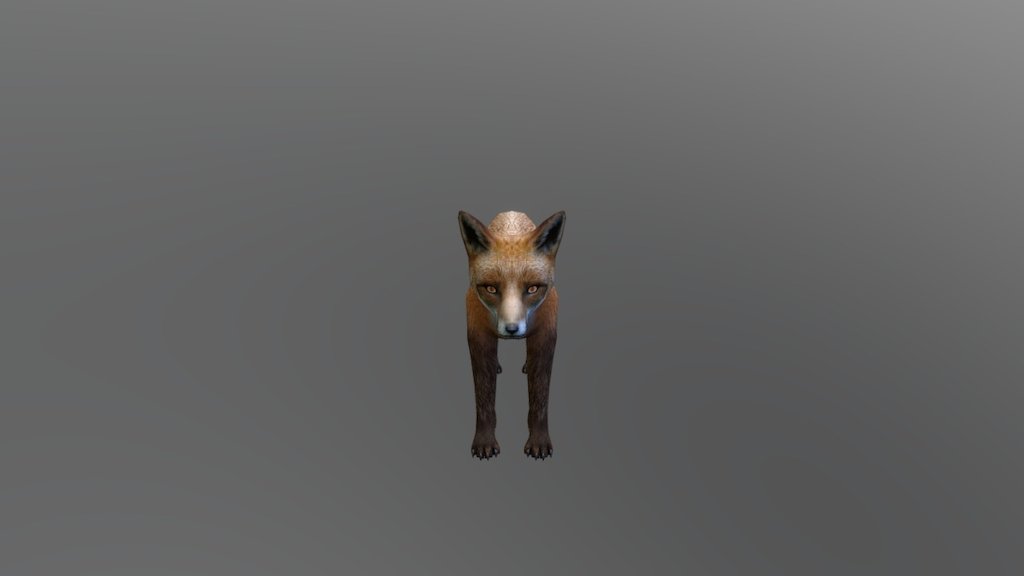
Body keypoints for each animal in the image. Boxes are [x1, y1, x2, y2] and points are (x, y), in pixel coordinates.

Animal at [458, 210, 566, 460]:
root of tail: (512, 212)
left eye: (533, 288)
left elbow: (539, 399)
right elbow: (484, 399)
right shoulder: (478, 337)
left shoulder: (545, 337)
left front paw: (538, 441)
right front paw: (485, 442)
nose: (512, 329)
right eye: (490, 288)